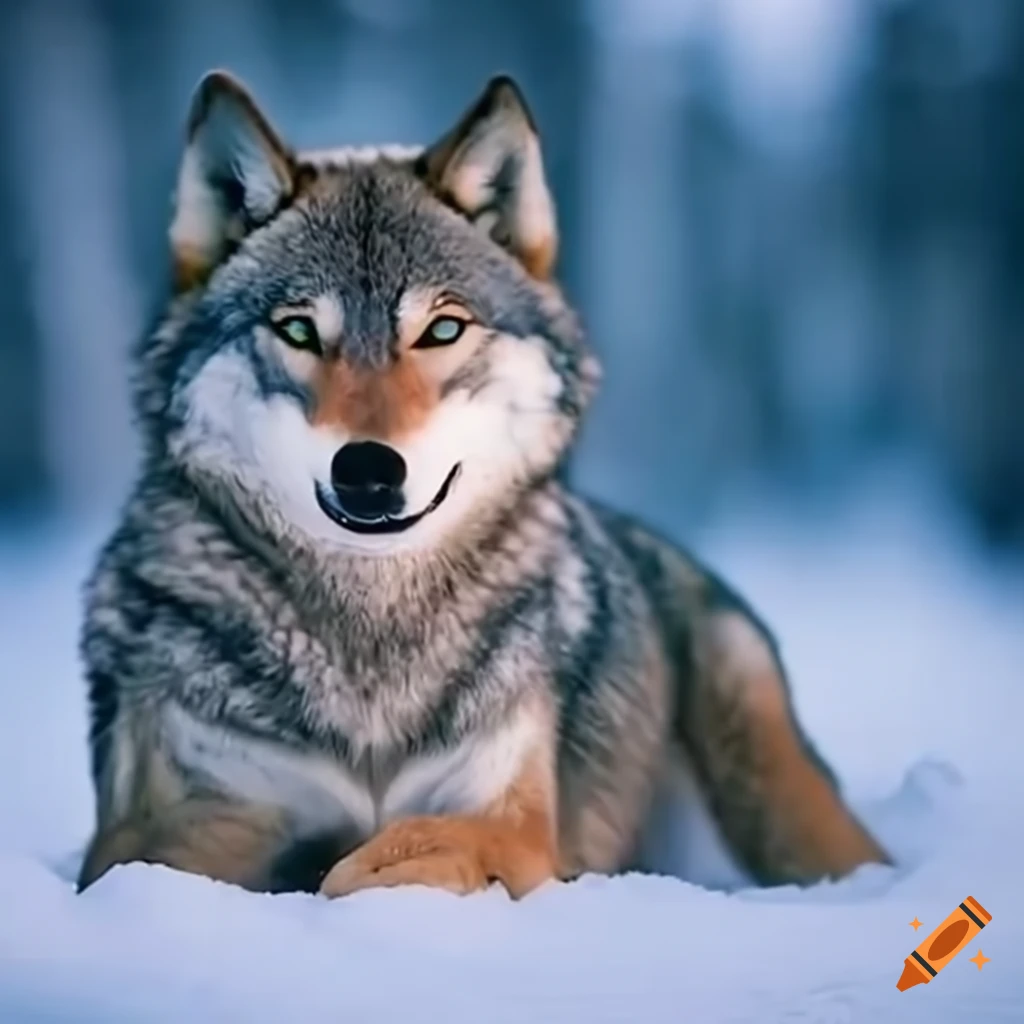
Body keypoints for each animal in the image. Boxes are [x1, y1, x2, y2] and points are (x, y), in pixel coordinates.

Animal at [76, 71, 889, 898]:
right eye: (299, 331)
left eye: (441, 330)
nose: (367, 469)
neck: (374, 655)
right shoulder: (162, 828)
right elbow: (170, 856)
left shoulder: (516, 825)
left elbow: (418, 849)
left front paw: (353, 872)